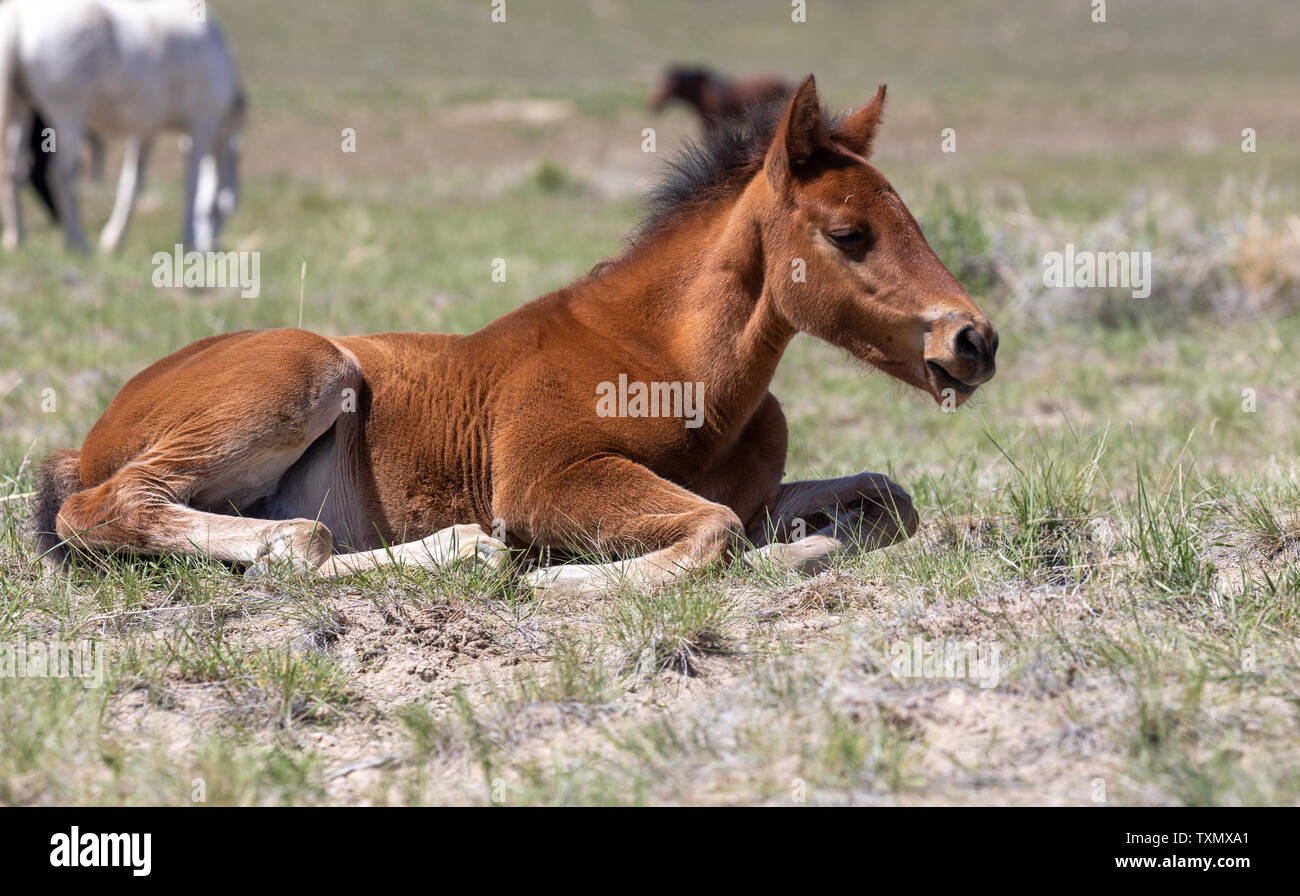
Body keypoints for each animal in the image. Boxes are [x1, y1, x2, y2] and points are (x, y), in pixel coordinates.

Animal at [0, 0, 245, 253]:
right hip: (67, 113)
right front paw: (189, 241)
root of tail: (18, 17)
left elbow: (132, 183)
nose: (212, 248)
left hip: (21, 104)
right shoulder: (202, 123)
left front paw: (114, 239)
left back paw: (16, 237)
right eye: (223, 210)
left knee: (12, 168)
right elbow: (192, 184)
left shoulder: (146, 129)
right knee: (61, 173)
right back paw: (77, 241)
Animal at [33, 77, 998, 598]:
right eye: (848, 233)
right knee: (127, 509)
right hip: (305, 372)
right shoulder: (547, 479)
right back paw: (469, 551)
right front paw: (563, 579)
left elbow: (885, 500)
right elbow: (717, 531)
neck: (673, 365)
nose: (974, 341)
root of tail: (93, 434)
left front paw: (806, 546)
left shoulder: (759, 490)